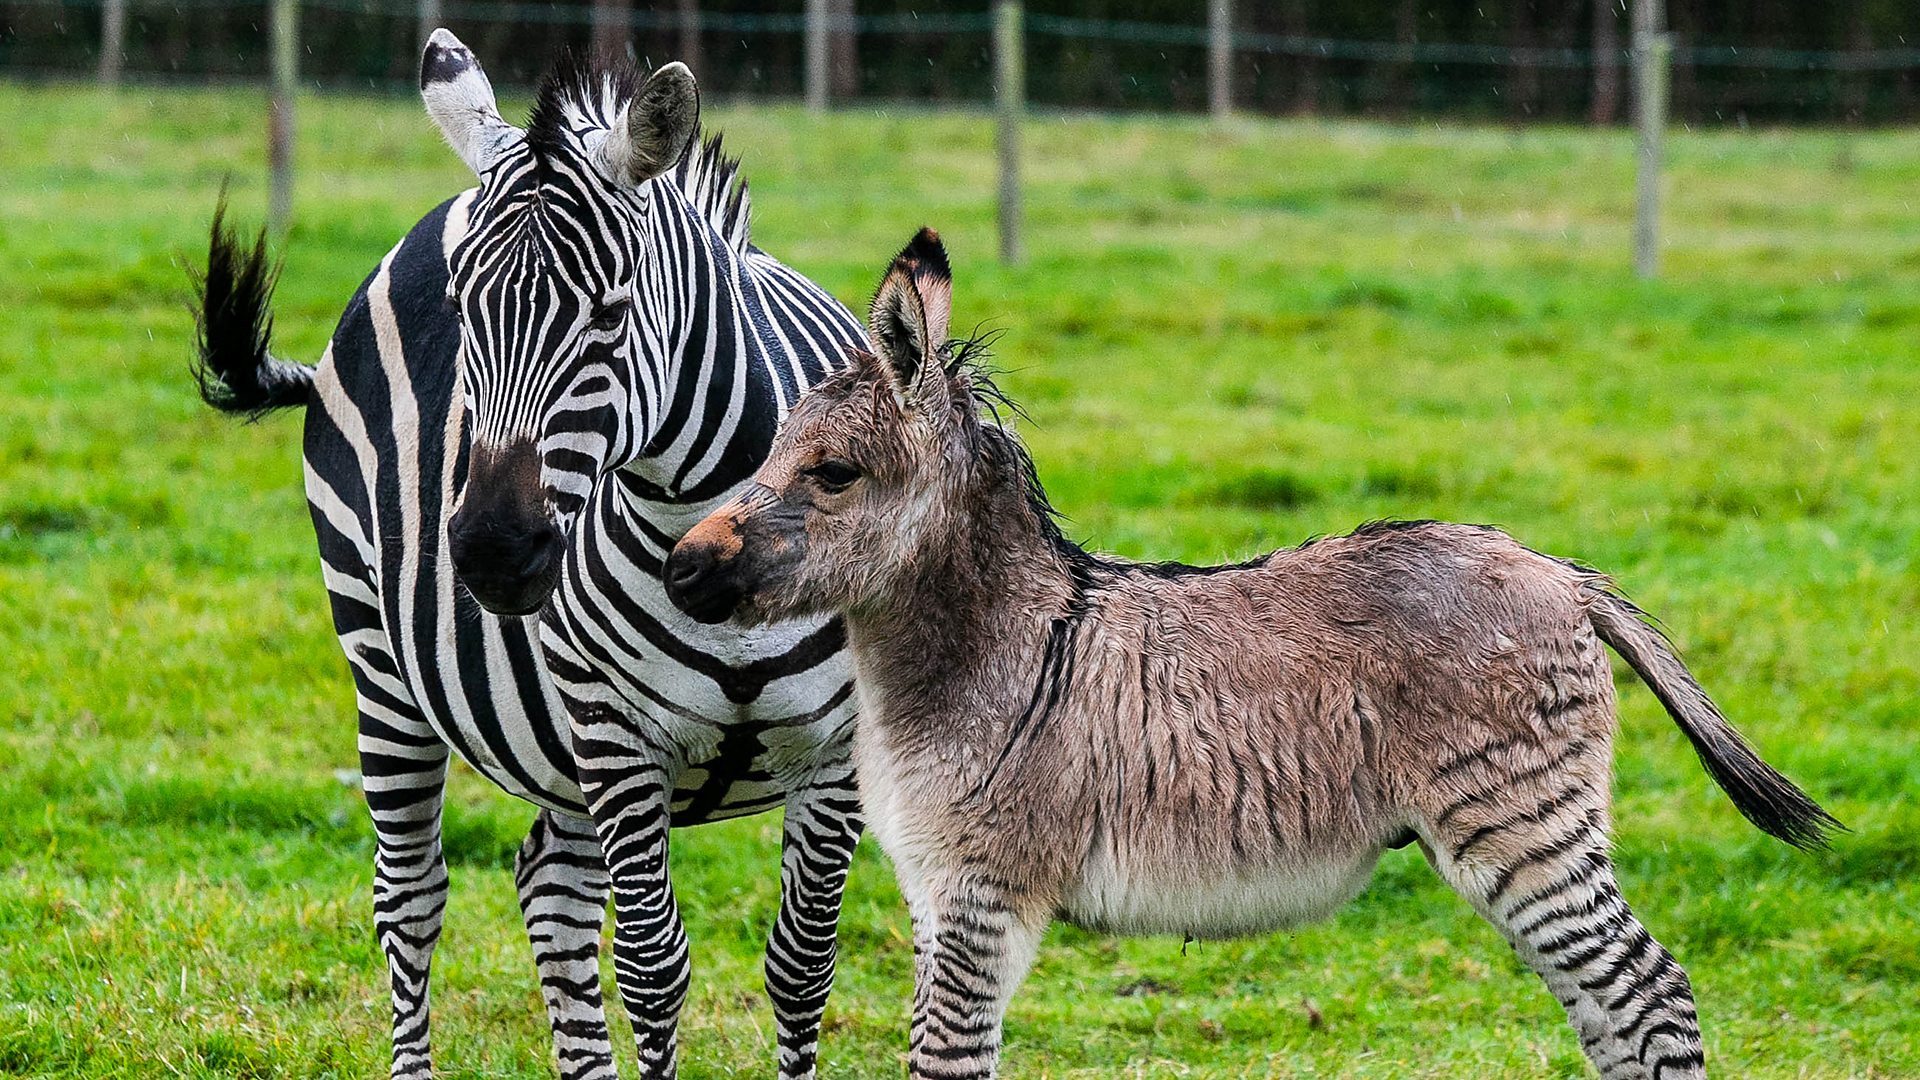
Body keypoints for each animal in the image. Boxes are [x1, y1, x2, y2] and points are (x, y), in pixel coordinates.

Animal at [192, 32, 867, 1080]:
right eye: (463, 309)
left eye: (611, 313)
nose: (495, 553)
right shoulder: (616, 734)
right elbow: (653, 968)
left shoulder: (834, 753)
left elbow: (801, 971)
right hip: (384, 667)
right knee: (412, 901)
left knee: (548, 890)